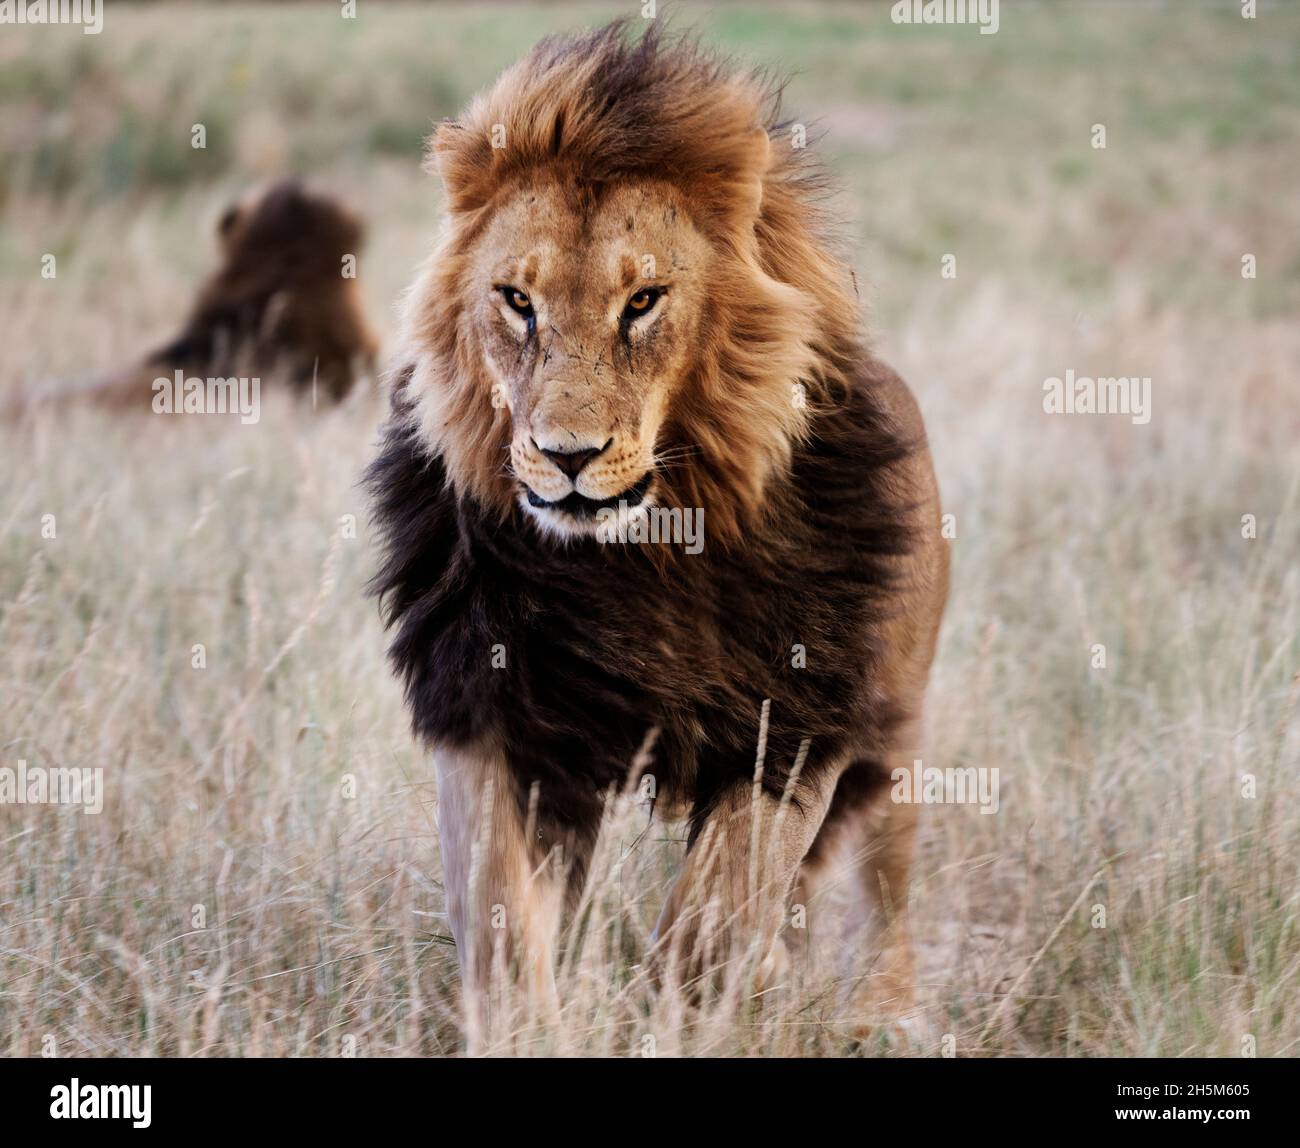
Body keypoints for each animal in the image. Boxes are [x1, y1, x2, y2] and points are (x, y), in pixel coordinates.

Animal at [368, 22, 949, 1035]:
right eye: (517, 300)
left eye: (642, 302)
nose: (565, 455)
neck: (645, 558)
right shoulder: (491, 709)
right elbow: (500, 911)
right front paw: (528, 1029)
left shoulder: (796, 725)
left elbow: (718, 904)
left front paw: (671, 1015)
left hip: (897, 736)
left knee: (885, 889)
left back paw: (884, 1010)